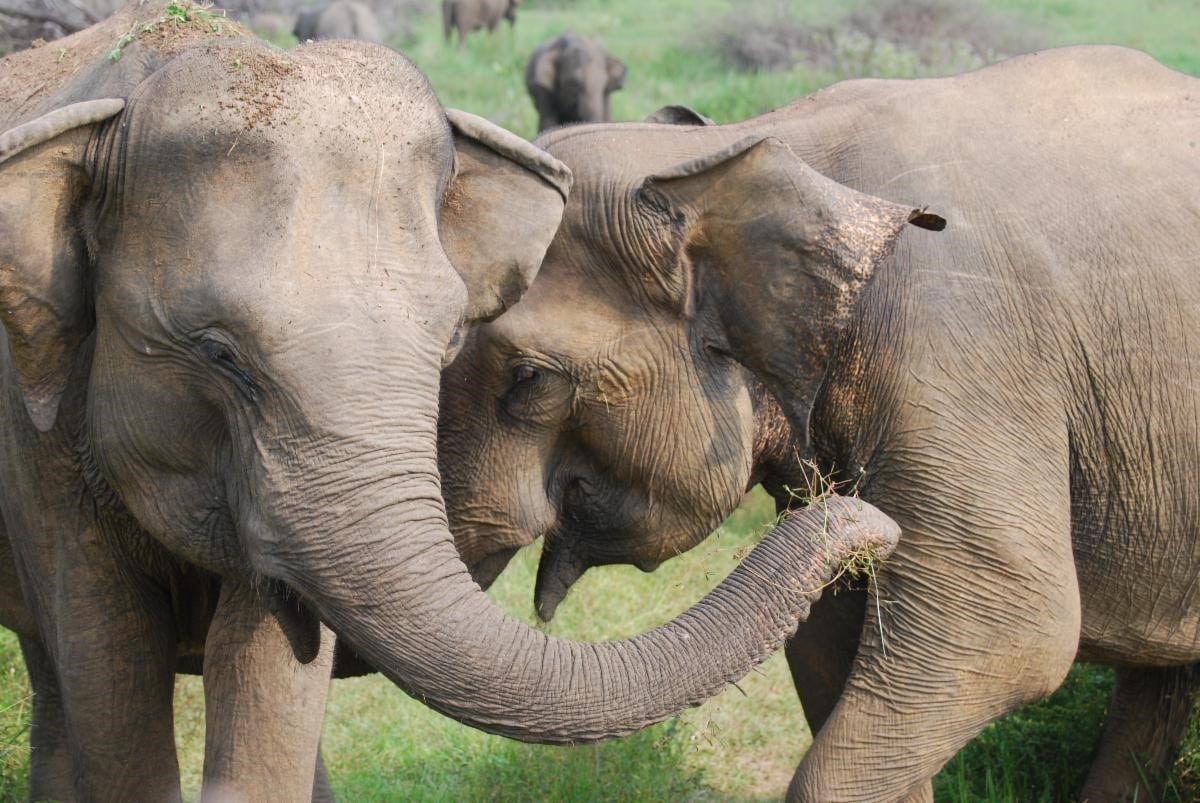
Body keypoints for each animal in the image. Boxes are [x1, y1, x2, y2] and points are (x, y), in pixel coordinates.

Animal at [0, 3, 902, 800]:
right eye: (220, 356)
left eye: (447, 340)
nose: (872, 523)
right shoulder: (36, 433)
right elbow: (110, 666)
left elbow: (265, 687)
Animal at [437, 46, 1200, 802]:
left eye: (529, 379)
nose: (876, 521)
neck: (755, 145)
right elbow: (826, 635)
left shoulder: (961, 351)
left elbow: (1012, 623)